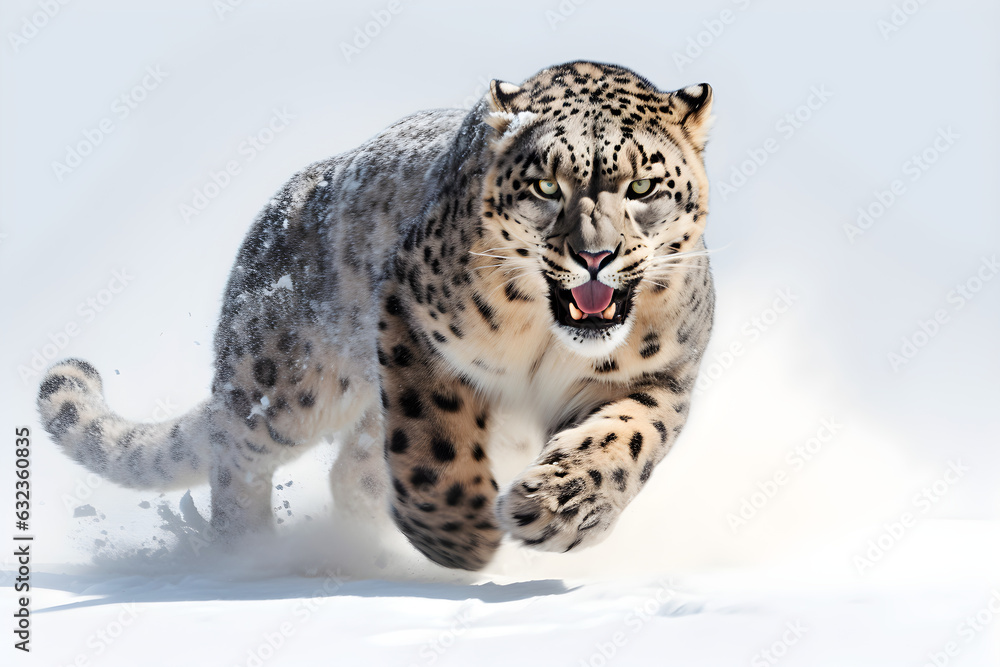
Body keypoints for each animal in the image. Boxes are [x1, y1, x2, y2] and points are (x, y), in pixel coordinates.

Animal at [37, 61, 715, 571]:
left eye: (642, 188)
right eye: (547, 188)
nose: (595, 256)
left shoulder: (657, 372)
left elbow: (623, 438)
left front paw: (559, 509)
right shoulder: (416, 321)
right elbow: (431, 437)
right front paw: (462, 539)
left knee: (351, 472)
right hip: (288, 384)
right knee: (238, 448)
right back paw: (246, 559)